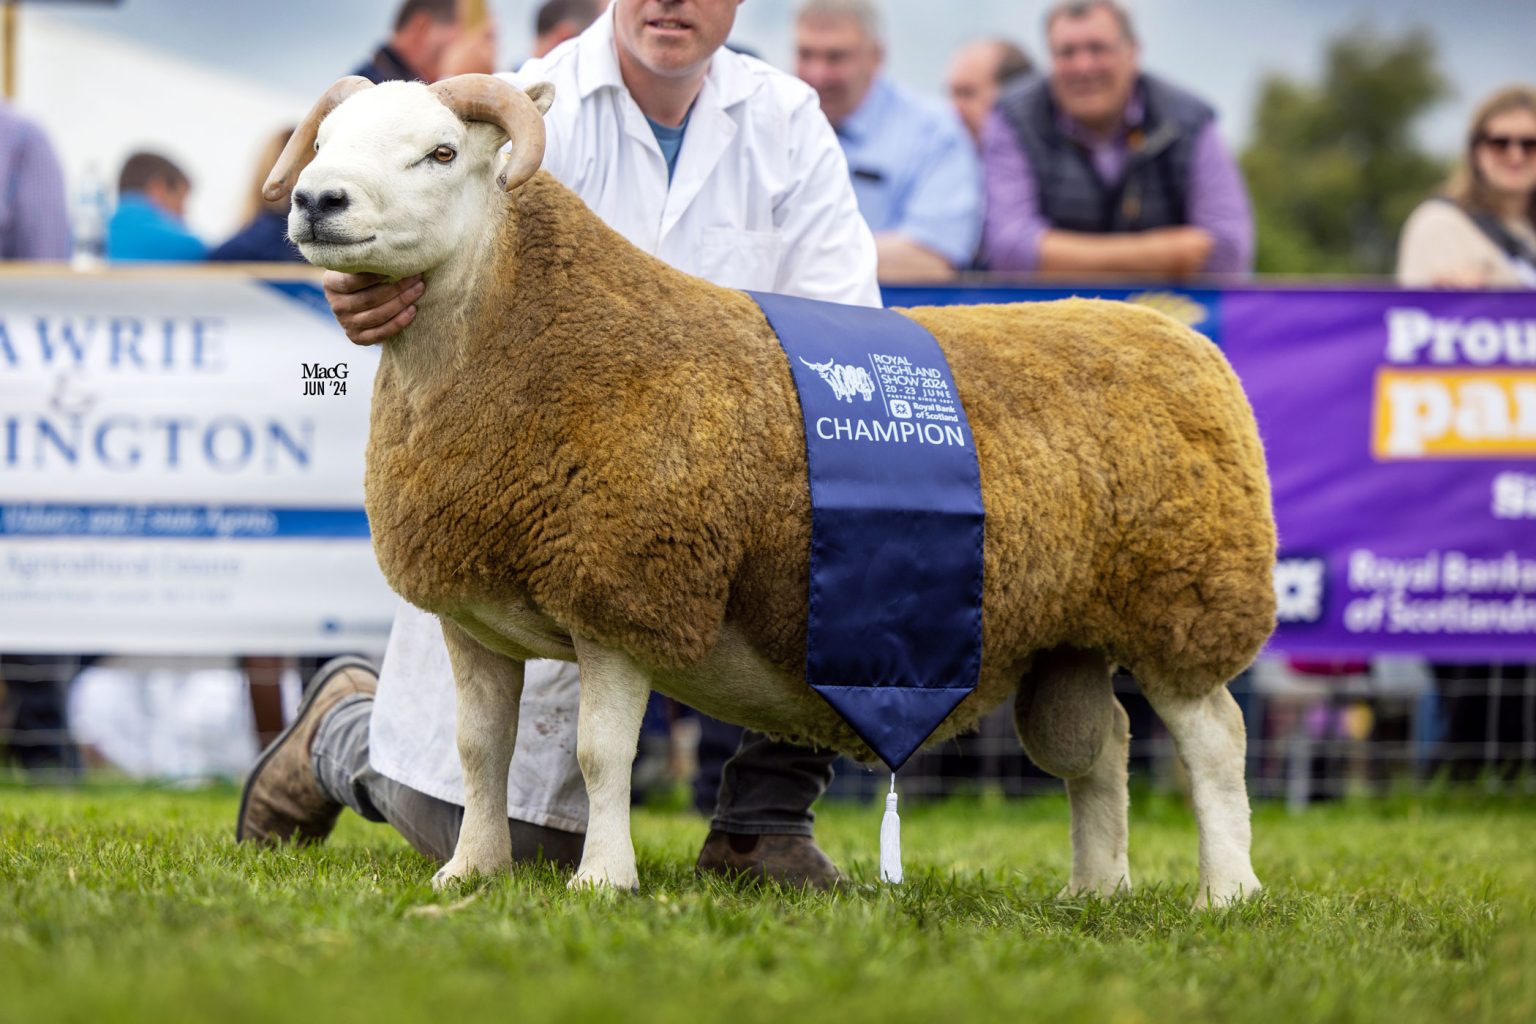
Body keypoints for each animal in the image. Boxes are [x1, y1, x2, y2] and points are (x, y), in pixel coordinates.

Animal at [265, 74, 1277, 903]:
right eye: (323, 144)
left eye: (441, 153)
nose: (317, 200)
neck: (520, 340)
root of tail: (1171, 330)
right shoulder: (474, 610)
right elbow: (481, 754)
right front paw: (470, 872)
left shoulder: (626, 589)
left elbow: (600, 754)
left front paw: (602, 880)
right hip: (1066, 633)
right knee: (1099, 745)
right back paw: (1094, 890)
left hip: (1186, 598)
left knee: (1216, 741)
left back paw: (1226, 893)